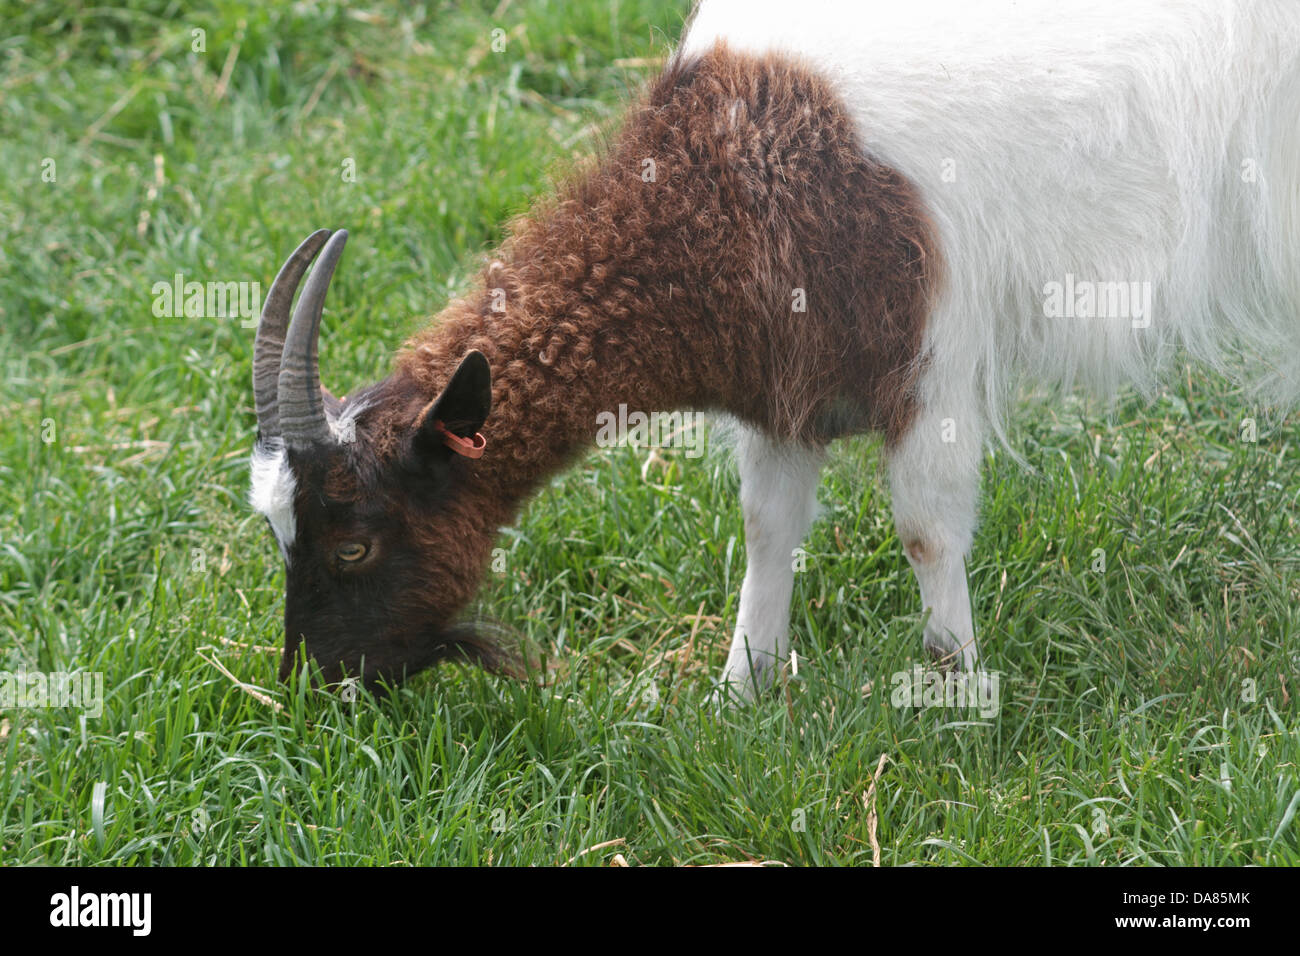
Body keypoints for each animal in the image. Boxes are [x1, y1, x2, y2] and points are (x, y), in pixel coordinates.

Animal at [250, 0, 1300, 698]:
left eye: (353, 541)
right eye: (276, 534)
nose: (321, 690)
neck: (731, 168)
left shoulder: (929, 357)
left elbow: (926, 528)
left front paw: (958, 692)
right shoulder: (783, 383)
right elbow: (766, 527)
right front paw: (740, 691)